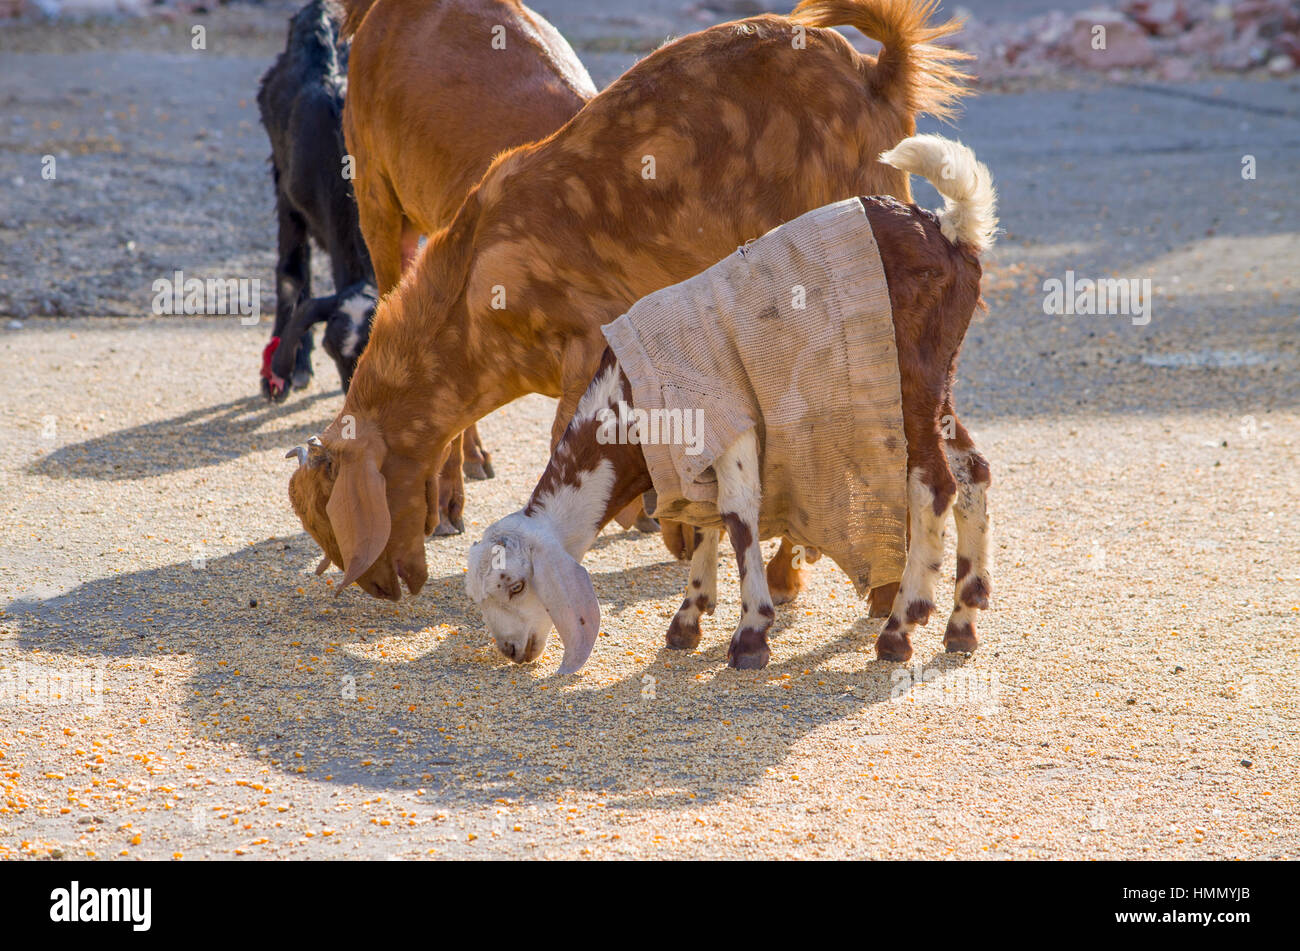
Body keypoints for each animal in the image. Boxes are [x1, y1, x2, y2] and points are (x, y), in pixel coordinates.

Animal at [286, 0, 972, 605]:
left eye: (332, 510)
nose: (378, 588)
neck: (474, 295)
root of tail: (879, 76)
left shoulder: (591, 337)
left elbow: (567, 443)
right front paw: (678, 532)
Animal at [466, 134, 998, 673]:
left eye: (516, 585)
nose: (511, 651)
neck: (626, 401)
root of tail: (950, 230)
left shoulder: (726, 422)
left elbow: (738, 516)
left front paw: (750, 636)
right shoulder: (692, 454)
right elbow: (706, 521)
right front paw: (688, 617)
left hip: (907, 380)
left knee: (934, 486)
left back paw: (900, 626)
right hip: (939, 379)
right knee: (973, 472)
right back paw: (962, 622)